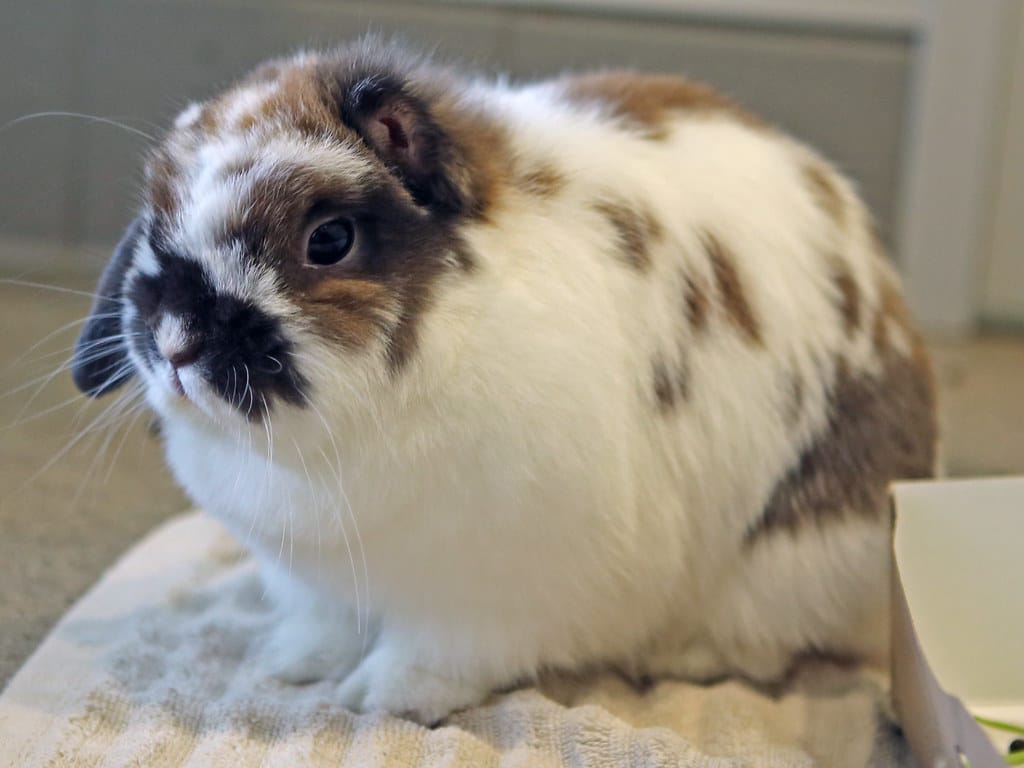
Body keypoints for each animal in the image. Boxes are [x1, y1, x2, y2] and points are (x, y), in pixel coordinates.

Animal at [70, 40, 937, 724]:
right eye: (158, 224)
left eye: (330, 240)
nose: (175, 343)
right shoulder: (316, 576)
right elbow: (326, 623)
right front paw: (294, 664)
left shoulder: (487, 591)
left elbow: (439, 653)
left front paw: (383, 698)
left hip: (787, 562)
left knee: (765, 643)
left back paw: (680, 656)